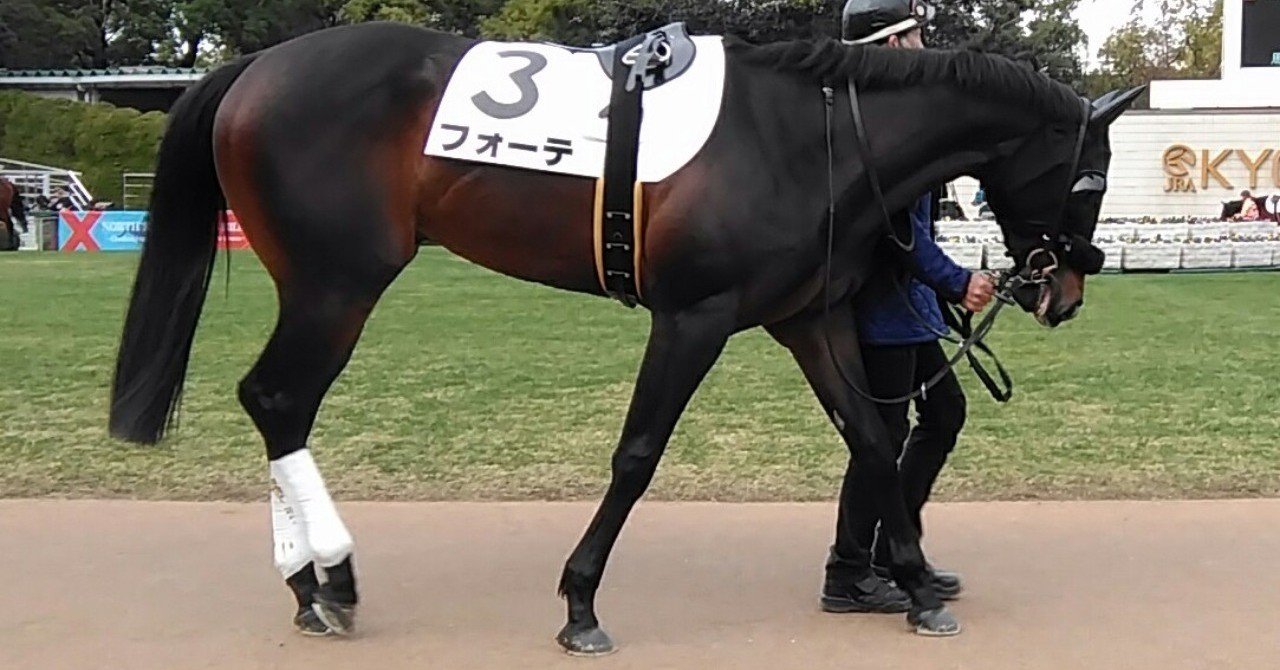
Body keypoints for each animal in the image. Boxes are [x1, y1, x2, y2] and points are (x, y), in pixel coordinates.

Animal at [107, 22, 1139, 652]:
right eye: (1091, 177)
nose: (1065, 291)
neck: (805, 137)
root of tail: (254, 68)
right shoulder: (695, 317)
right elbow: (639, 452)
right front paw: (580, 602)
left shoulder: (807, 318)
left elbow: (876, 444)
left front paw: (916, 586)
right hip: (337, 284)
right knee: (279, 399)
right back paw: (335, 577)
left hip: (323, 286)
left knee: (277, 404)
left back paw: (309, 583)